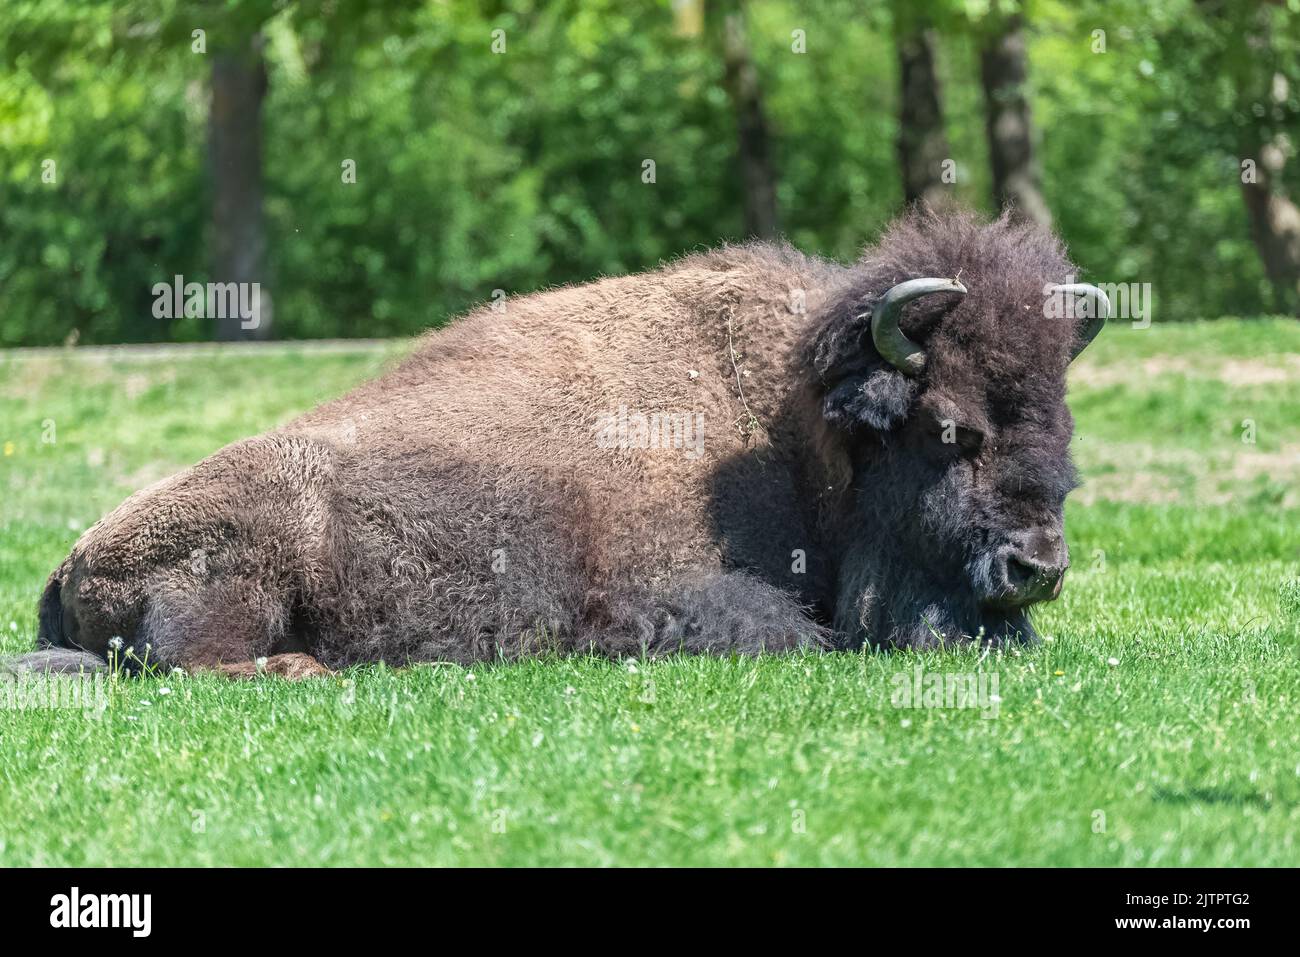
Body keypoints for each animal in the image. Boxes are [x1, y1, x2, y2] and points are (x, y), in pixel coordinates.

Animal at [12, 209, 1108, 678]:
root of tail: (71, 562)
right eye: (948, 429)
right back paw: (309, 671)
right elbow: (790, 629)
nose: (1036, 567)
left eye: (1061, 425)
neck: (795, 426)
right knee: (197, 665)